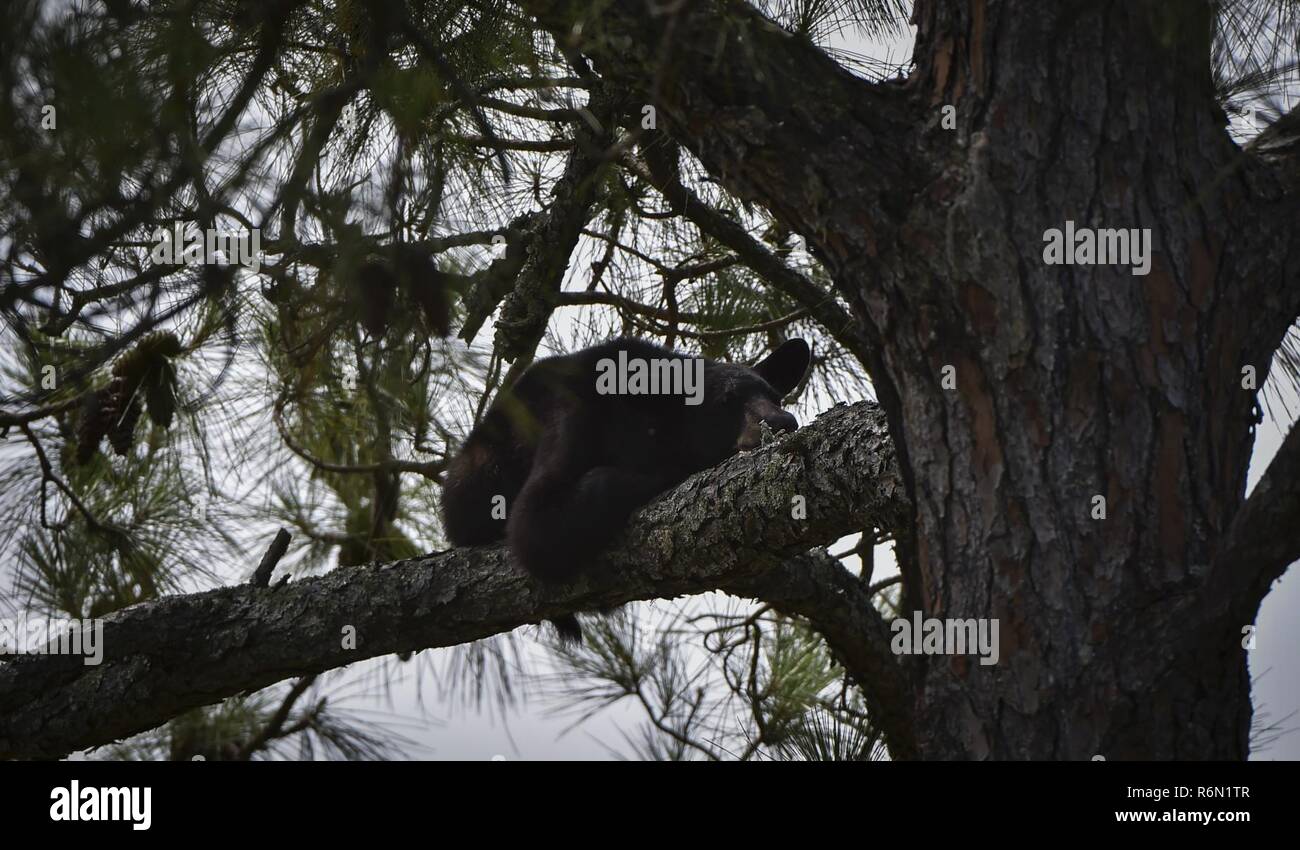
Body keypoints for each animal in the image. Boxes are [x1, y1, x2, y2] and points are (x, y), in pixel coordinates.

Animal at [440, 336, 811, 641]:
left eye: (775, 396)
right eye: (726, 400)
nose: (782, 421)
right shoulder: (574, 416)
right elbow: (534, 530)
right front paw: (669, 466)